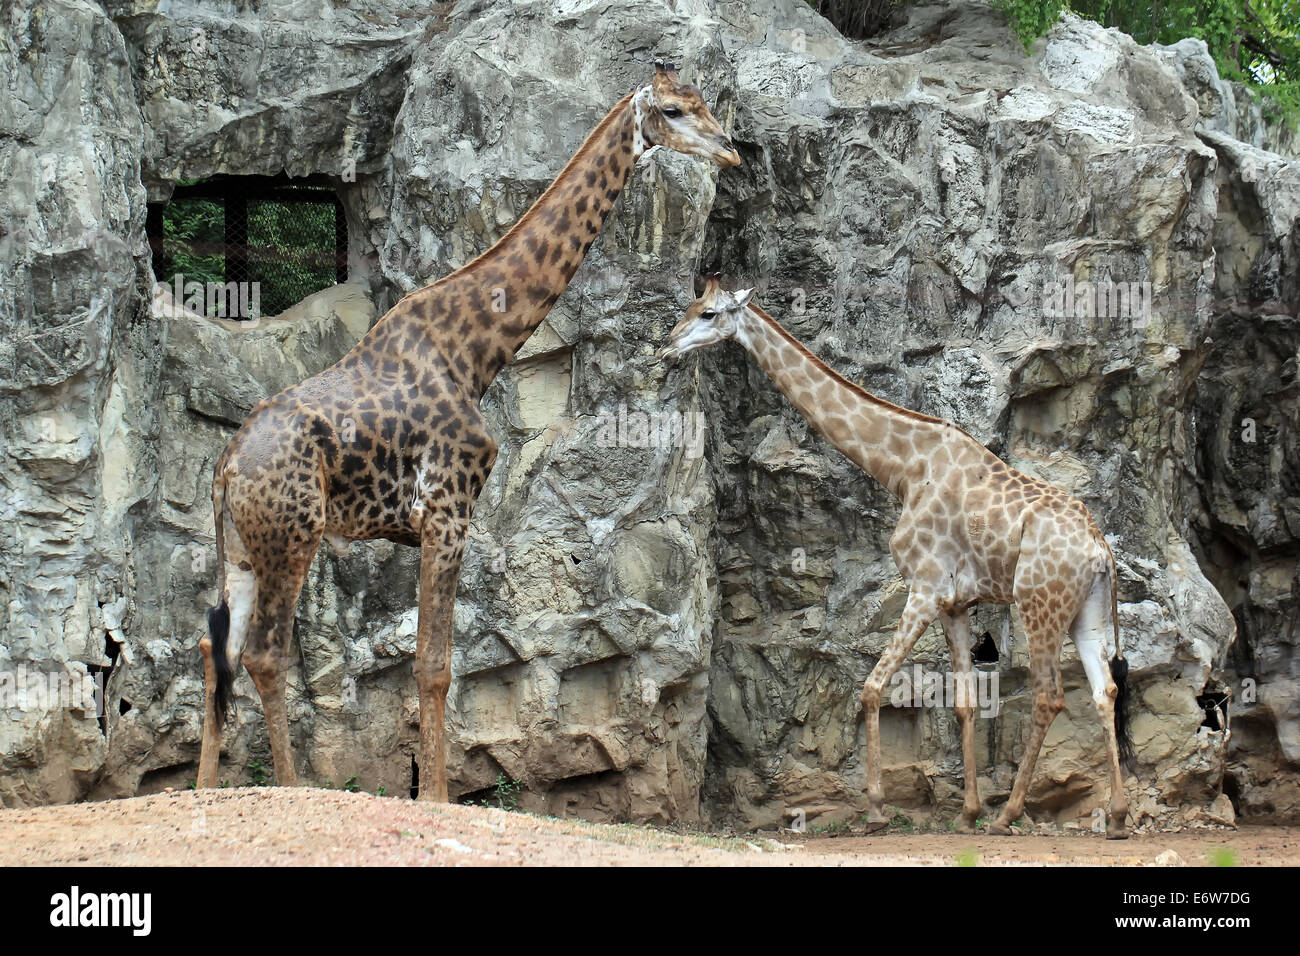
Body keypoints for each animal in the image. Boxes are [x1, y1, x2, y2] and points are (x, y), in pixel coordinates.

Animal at [197, 63, 740, 801]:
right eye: (678, 111)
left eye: (706, 103)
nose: (731, 152)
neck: (477, 351)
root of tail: (226, 468)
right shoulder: (446, 511)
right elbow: (434, 666)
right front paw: (435, 795)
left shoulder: (435, 520)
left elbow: (432, 664)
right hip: (292, 534)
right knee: (265, 654)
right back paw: (288, 788)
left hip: (240, 548)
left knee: (214, 650)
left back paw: (198, 790)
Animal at [658, 278, 1134, 838]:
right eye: (691, 306)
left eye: (708, 313)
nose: (666, 346)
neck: (905, 467)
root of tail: (1100, 548)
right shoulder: (955, 602)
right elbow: (964, 704)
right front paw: (967, 813)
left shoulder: (923, 588)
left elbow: (870, 688)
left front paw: (877, 808)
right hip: (1086, 611)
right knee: (1104, 691)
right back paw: (1116, 817)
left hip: (1039, 604)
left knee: (1049, 696)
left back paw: (1010, 814)